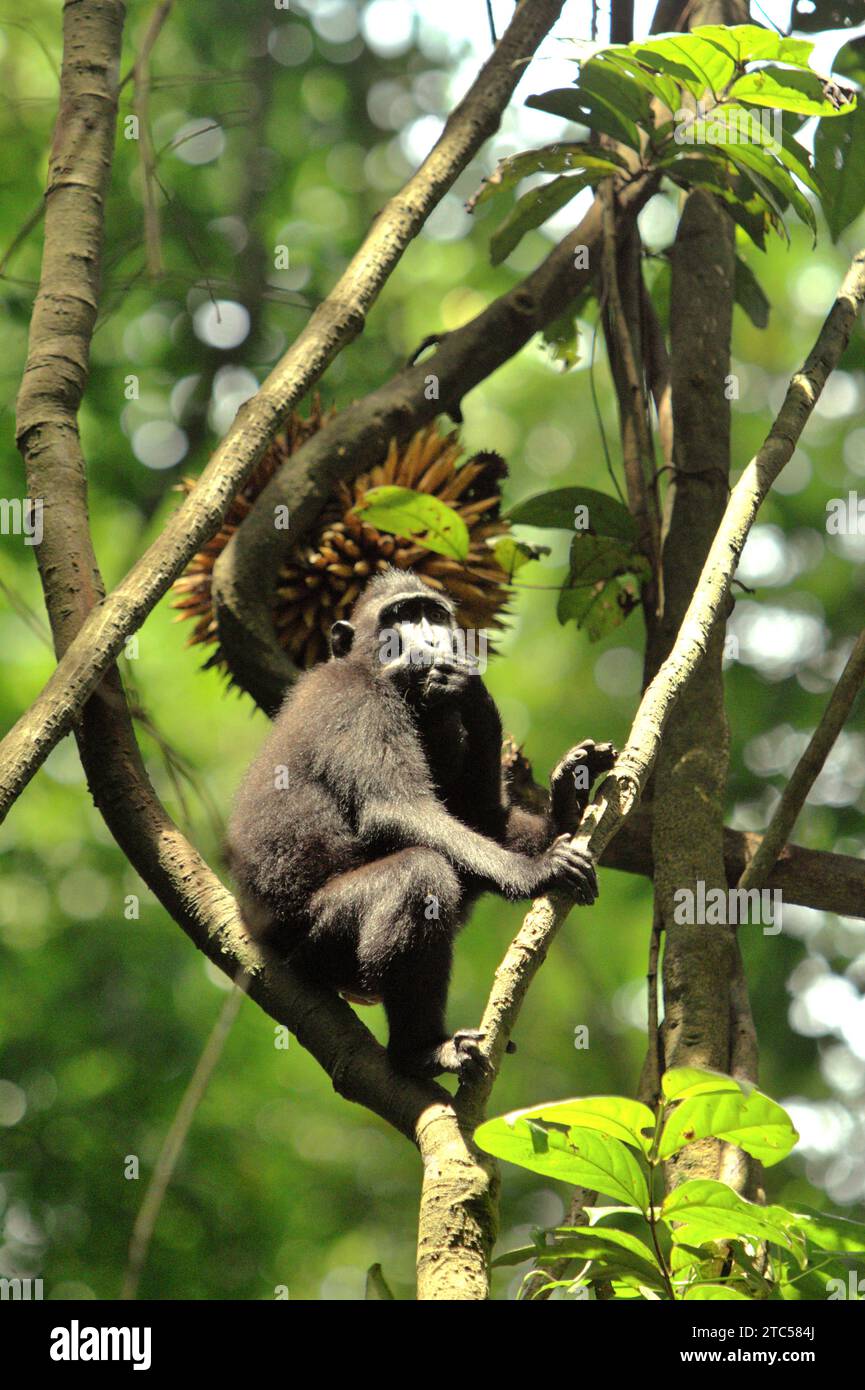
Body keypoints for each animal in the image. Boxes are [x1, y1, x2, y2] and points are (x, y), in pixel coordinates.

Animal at [227, 567, 615, 1079]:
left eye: (433, 614)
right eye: (401, 616)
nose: (430, 639)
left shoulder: (445, 715)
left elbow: (480, 817)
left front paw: (566, 795)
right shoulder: (357, 701)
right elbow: (397, 809)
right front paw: (536, 872)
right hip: (311, 940)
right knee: (418, 874)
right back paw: (419, 1050)